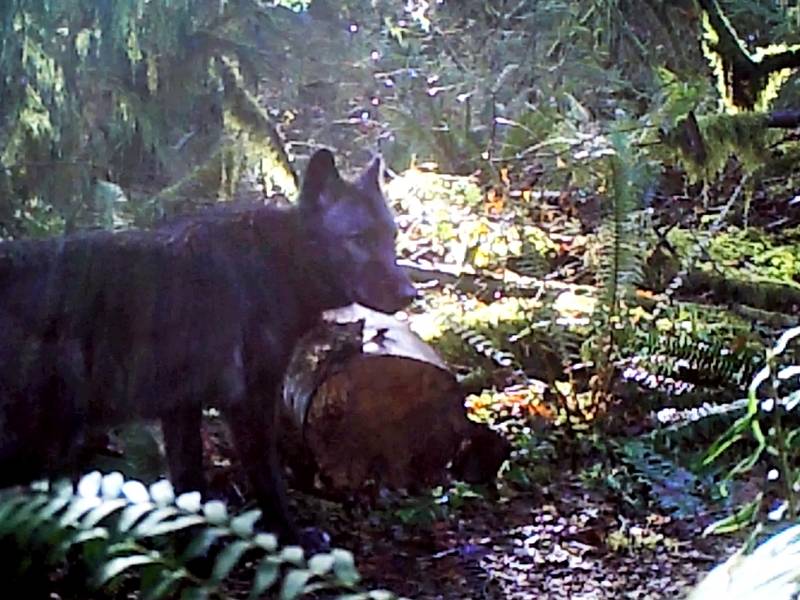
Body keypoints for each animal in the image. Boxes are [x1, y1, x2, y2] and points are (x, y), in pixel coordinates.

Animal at [0, 148, 416, 542]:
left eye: (391, 237)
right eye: (359, 239)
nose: (410, 294)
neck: (277, 263)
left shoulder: (181, 407)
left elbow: (189, 484)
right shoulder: (248, 404)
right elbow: (267, 481)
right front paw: (290, 537)